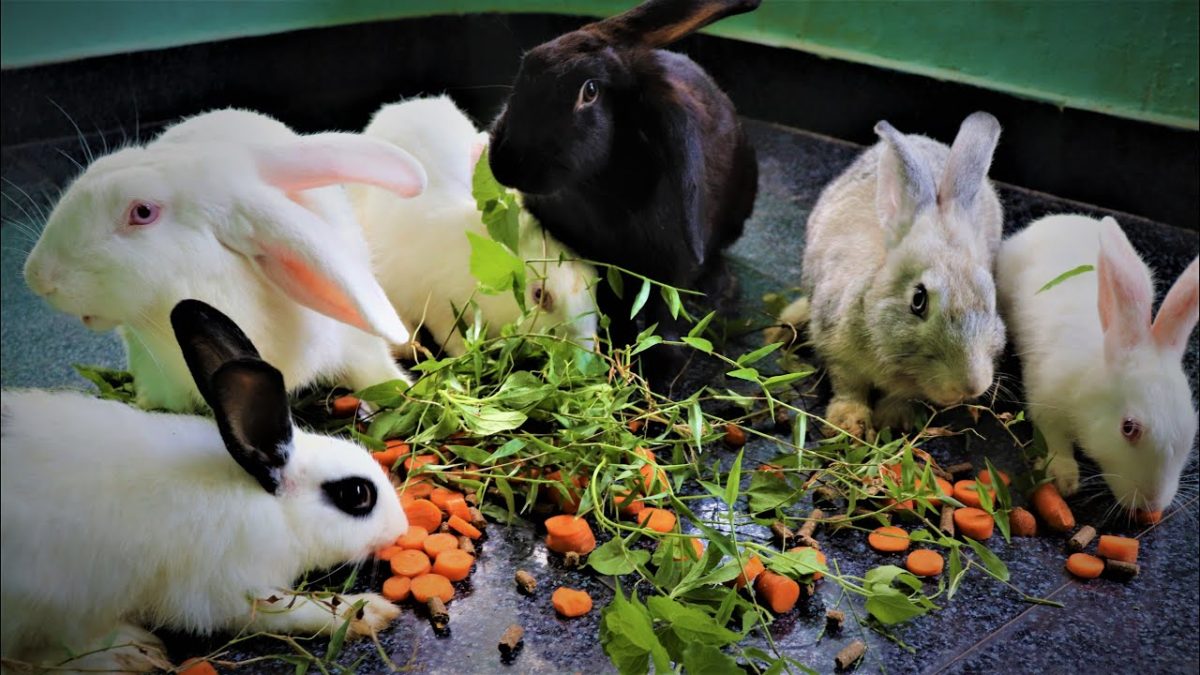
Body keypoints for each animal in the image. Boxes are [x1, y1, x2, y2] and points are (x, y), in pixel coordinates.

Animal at [0, 299, 408, 673]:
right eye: (356, 494)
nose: (401, 529)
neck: (271, 509)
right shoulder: (224, 590)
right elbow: (289, 610)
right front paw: (370, 612)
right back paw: (129, 654)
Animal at [350, 95, 598, 357]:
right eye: (540, 295)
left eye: (591, 274)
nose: (585, 350)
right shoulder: (435, 303)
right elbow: (449, 337)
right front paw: (466, 354)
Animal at [487, 0, 761, 364]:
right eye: (526, 63)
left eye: (590, 91)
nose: (505, 166)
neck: (593, 190)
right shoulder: (598, 265)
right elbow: (616, 308)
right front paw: (618, 343)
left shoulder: (675, 264)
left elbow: (665, 309)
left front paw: (662, 356)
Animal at [774, 112, 1006, 439]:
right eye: (918, 300)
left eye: (991, 296)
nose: (971, 386)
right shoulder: (838, 352)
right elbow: (849, 387)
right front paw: (848, 424)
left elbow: (899, 397)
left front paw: (893, 422)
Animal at [997, 214, 1199, 510]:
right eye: (1128, 428)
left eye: (1191, 427)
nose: (1153, 504)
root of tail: (1063, 217)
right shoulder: (1045, 403)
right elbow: (1054, 441)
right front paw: (1064, 478)